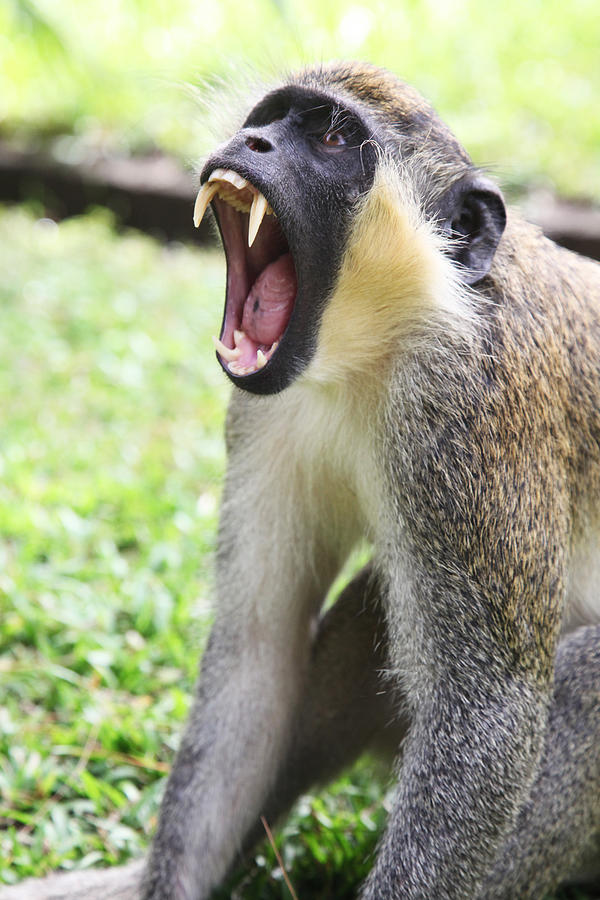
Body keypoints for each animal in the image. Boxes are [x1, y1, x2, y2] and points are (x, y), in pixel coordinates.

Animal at [134, 61, 600, 900]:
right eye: (269, 119)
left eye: (332, 136)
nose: (252, 143)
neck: (378, 347)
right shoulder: (266, 412)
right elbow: (257, 646)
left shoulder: (467, 416)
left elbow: (489, 715)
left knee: (584, 683)